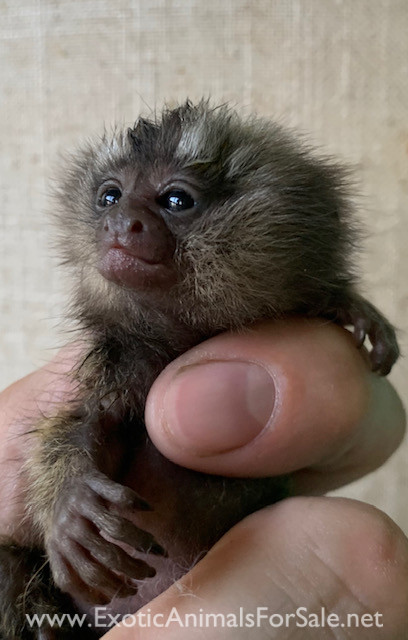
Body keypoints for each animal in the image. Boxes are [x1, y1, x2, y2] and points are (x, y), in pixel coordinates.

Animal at [0, 99, 399, 639]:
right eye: (110, 195)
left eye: (175, 200)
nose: (120, 222)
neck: (175, 344)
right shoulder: (122, 368)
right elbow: (74, 425)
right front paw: (69, 505)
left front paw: (348, 305)